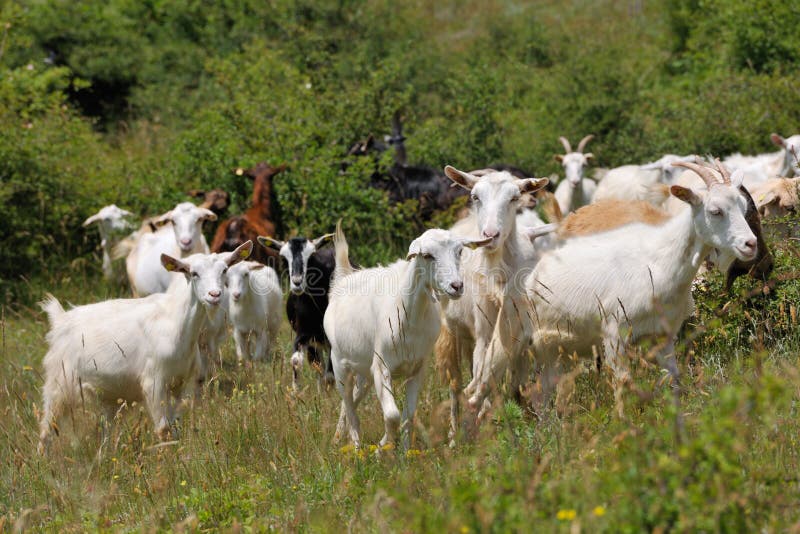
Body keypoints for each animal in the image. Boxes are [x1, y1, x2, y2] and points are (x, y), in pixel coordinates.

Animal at [38, 242, 253, 453]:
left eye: (224, 270)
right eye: (193, 273)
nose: (214, 295)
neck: (174, 323)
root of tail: (61, 319)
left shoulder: (184, 383)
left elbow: (175, 424)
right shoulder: (154, 381)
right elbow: (163, 428)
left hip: (108, 394)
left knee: (105, 430)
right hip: (59, 384)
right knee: (47, 427)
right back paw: (43, 459)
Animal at [258, 233, 337, 389]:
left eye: (311, 256)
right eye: (283, 258)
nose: (297, 282)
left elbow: (330, 376)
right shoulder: (304, 333)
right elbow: (296, 362)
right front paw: (296, 393)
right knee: (318, 365)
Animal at [326, 222, 491, 449]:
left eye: (459, 251)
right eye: (427, 255)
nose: (456, 286)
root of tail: (343, 279)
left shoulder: (417, 369)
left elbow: (408, 415)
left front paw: (404, 451)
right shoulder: (381, 366)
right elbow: (392, 415)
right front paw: (382, 447)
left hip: (364, 372)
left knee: (351, 399)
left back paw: (338, 438)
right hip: (339, 364)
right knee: (349, 404)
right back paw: (356, 446)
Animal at [436, 166, 549, 441]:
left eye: (514, 198)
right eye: (475, 196)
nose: (490, 236)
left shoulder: (518, 323)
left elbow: (514, 378)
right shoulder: (483, 326)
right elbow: (483, 366)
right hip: (454, 332)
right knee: (455, 383)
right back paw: (454, 434)